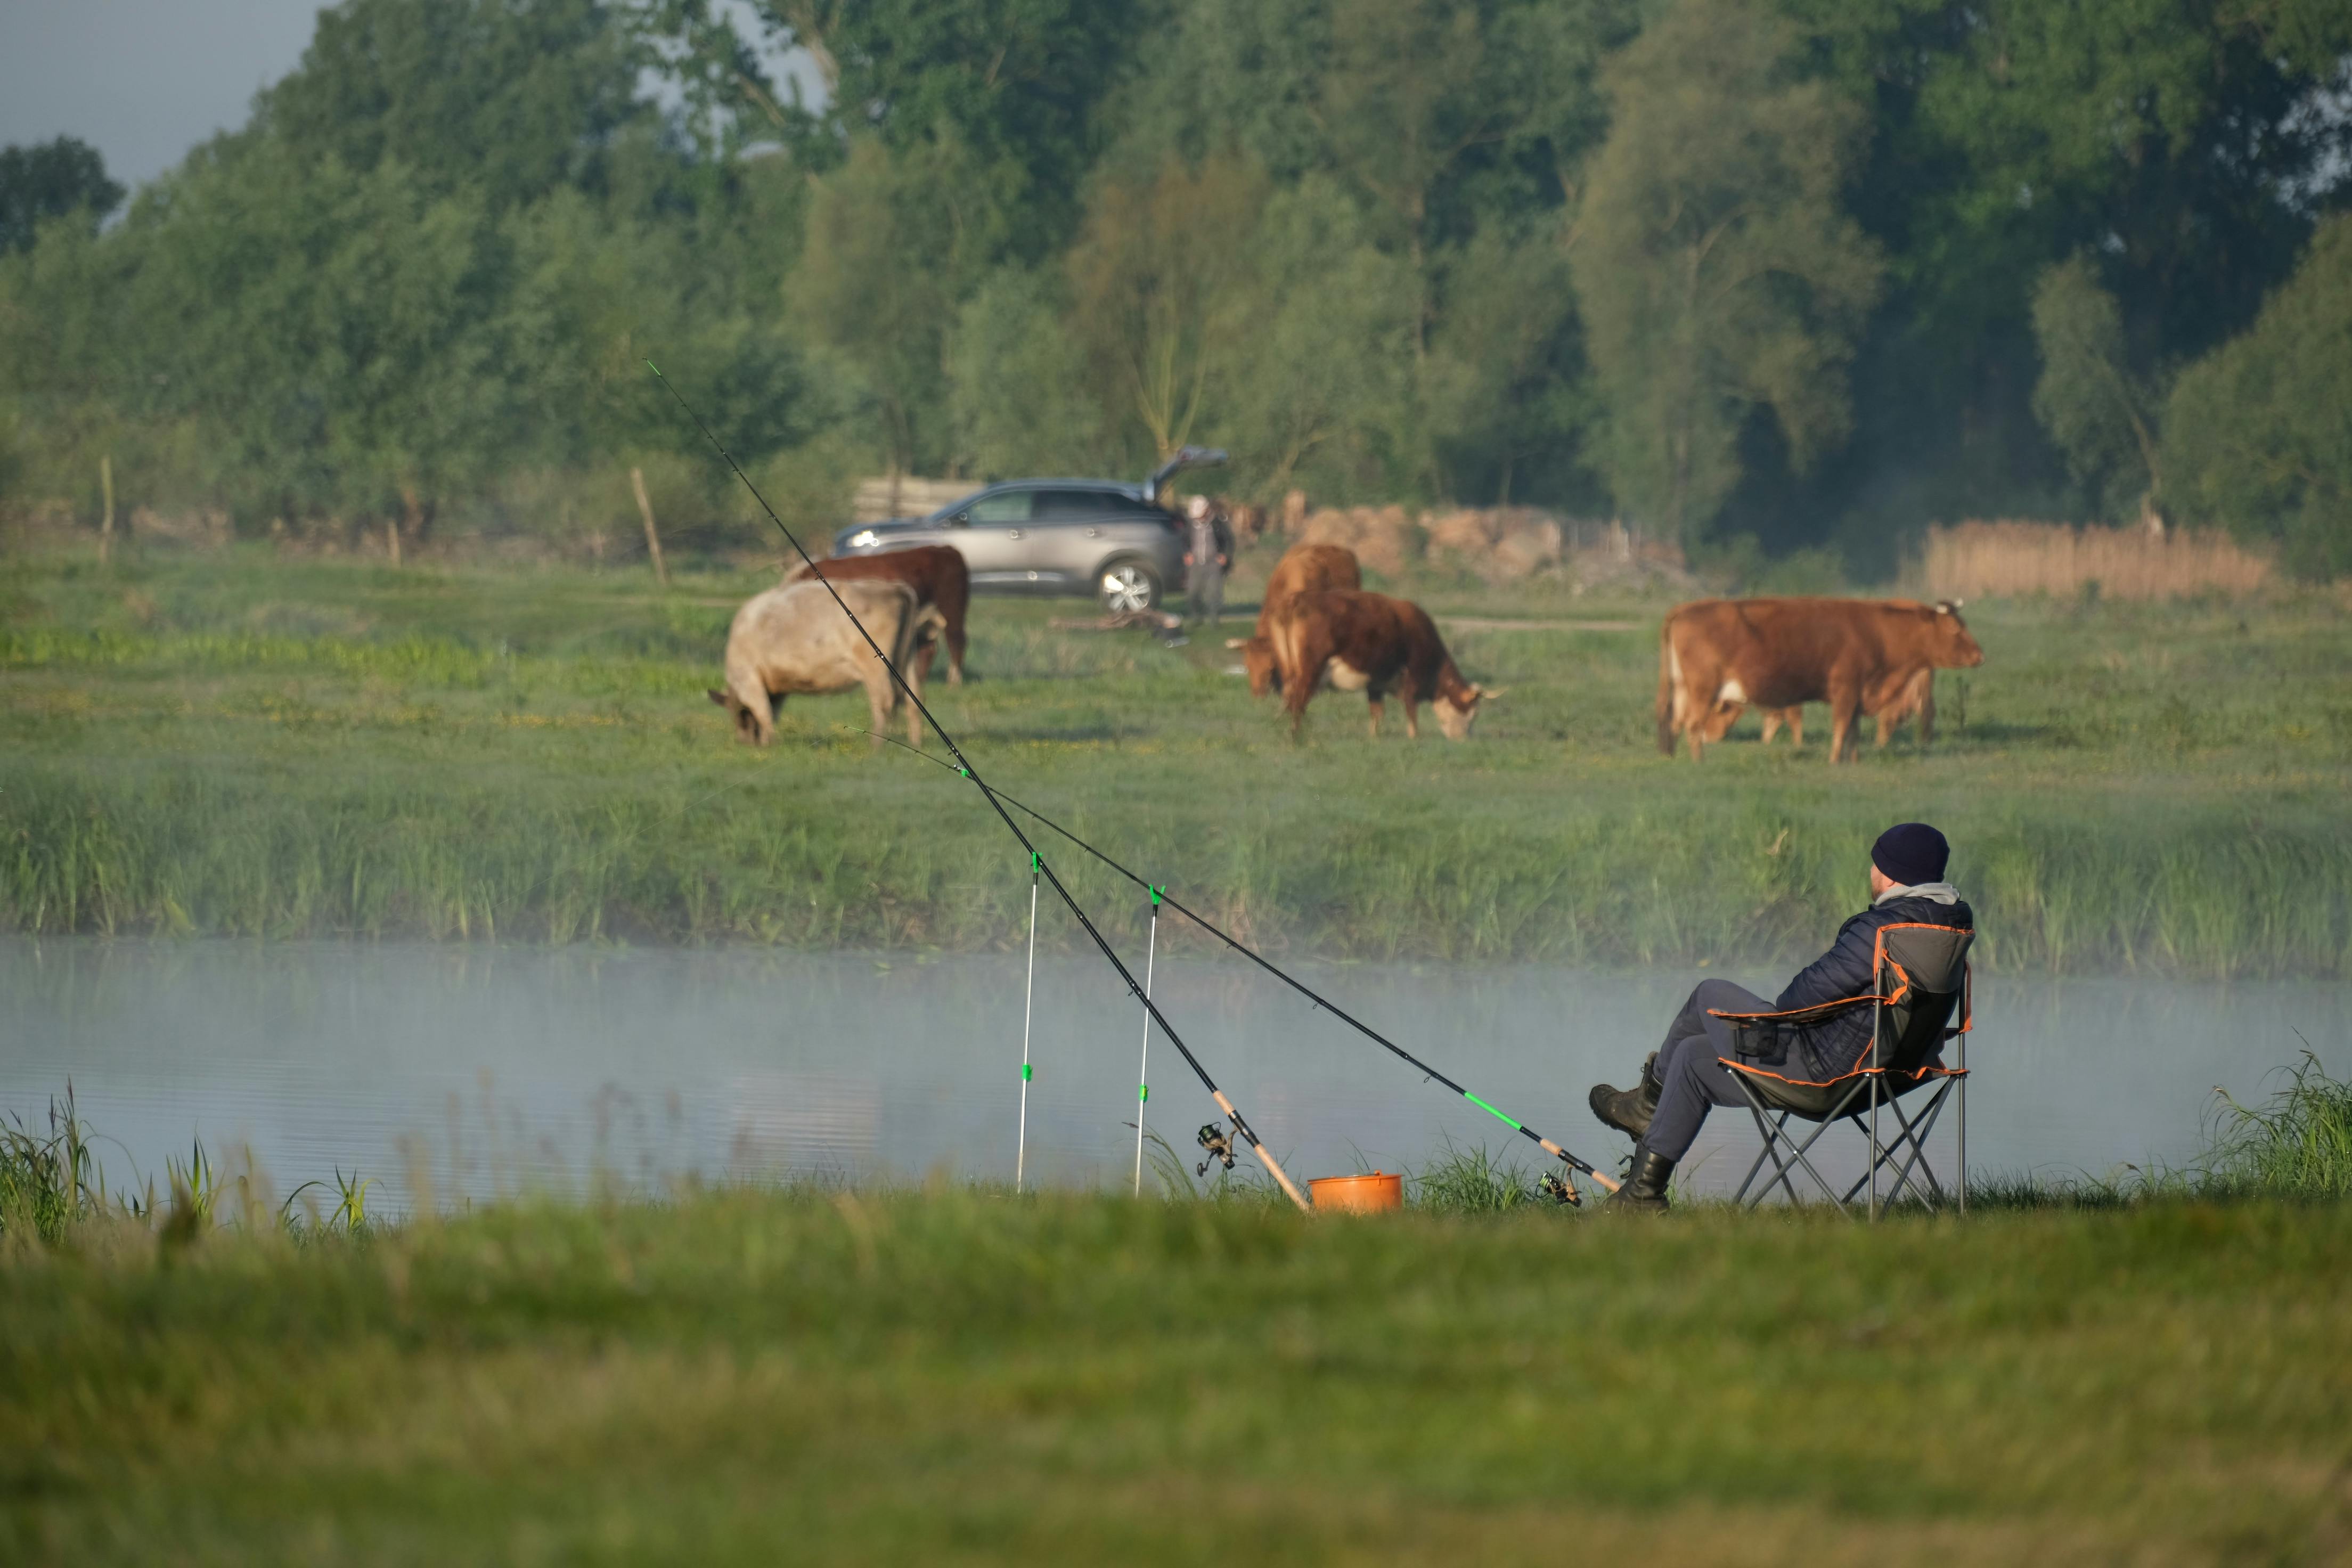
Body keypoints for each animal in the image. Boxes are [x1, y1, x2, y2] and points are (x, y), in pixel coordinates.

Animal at [707, 578, 943, 749]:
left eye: (739, 714)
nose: (746, 742)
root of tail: (895, 587)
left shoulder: (749, 677)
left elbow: (763, 711)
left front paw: (770, 743)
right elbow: (772, 711)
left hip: (876, 666)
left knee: (885, 700)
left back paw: (876, 745)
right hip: (907, 660)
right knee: (914, 700)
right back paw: (915, 743)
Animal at [788, 544, 971, 685]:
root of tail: (946, 549)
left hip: (952, 609)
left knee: (956, 641)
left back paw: (954, 681)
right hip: (927, 619)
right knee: (929, 649)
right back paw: (920, 678)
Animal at [1273, 589, 1496, 740]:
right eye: (1473, 712)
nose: (1465, 739)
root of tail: (1298, 599)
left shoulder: (1376, 683)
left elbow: (1377, 713)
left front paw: (1374, 738)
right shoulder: (1412, 678)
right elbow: (1411, 711)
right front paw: (1414, 738)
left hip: (1290, 670)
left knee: (1289, 702)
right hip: (1310, 670)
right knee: (1298, 702)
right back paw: (1296, 735)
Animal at [1655, 597, 1981, 763]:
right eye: (1954, 628)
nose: (1979, 655)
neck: (1877, 632)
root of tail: (1685, 609)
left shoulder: (1859, 693)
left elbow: (1853, 731)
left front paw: (1853, 760)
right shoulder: (1847, 688)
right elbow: (1841, 726)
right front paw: (1835, 760)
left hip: (1684, 689)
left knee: (1676, 723)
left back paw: (1672, 758)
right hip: (1703, 689)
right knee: (1692, 725)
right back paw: (1699, 762)